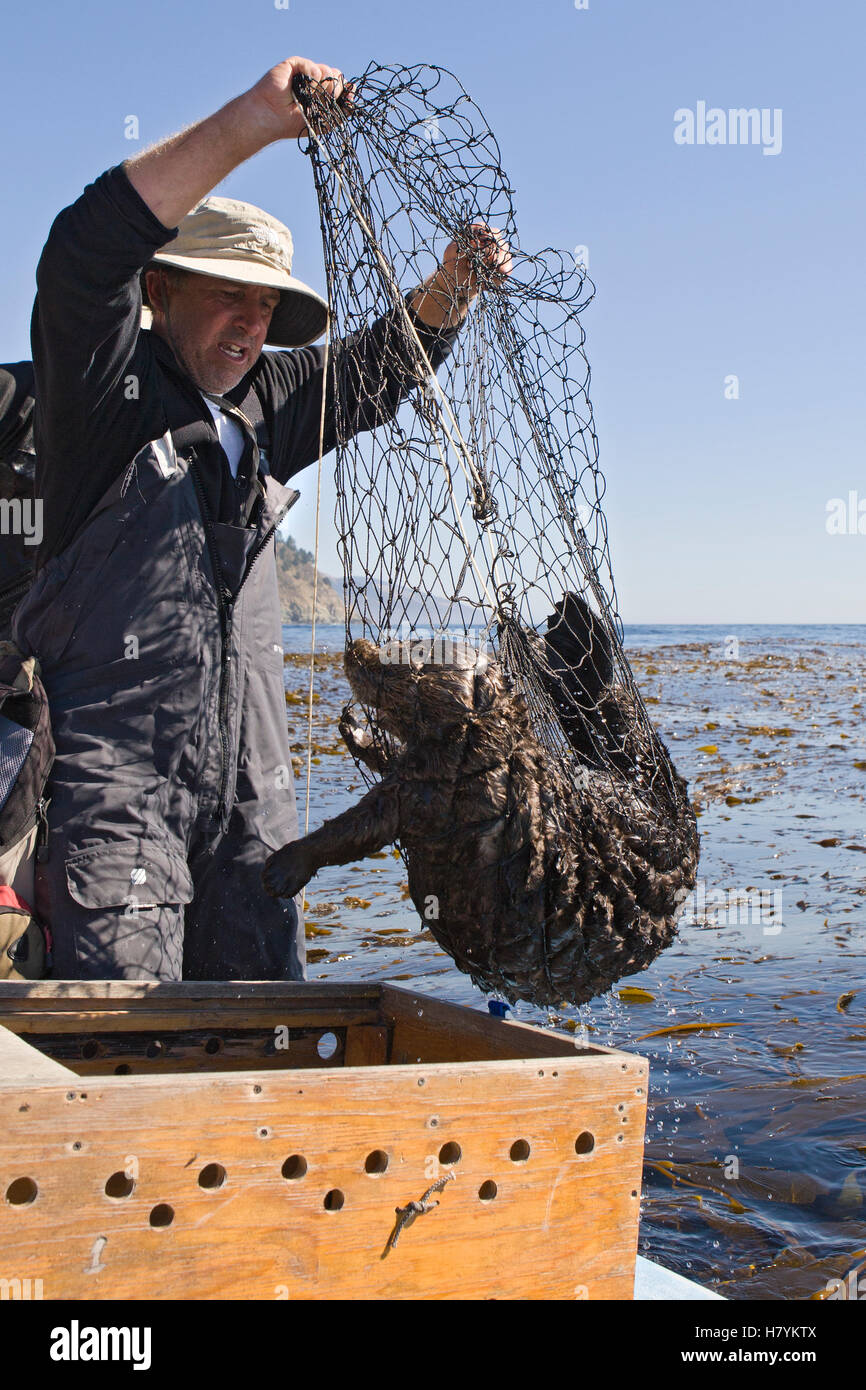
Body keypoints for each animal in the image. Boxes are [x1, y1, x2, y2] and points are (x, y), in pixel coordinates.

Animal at [262, 595, 699, 1006]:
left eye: (414, 651)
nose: (358, 648)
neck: (486, 746)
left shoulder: (426, 792)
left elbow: (354, 829)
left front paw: (282, 868)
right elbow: (386, 763)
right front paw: (354, 729)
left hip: (649, 810)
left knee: (617, 722)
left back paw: (570, 633)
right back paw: (560, 635)